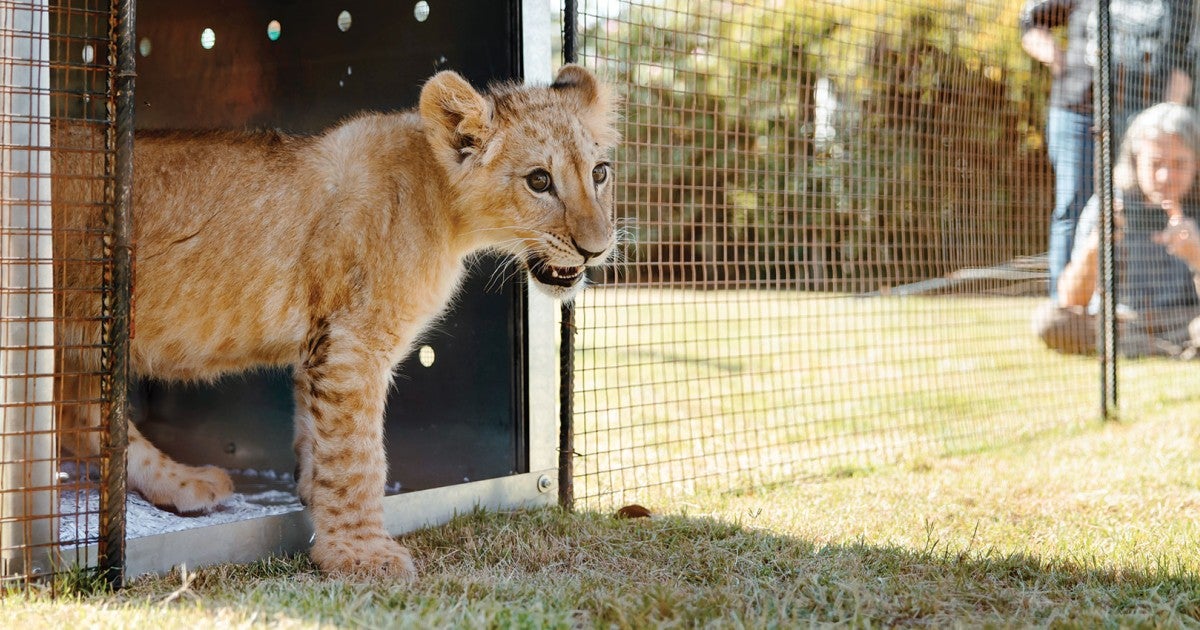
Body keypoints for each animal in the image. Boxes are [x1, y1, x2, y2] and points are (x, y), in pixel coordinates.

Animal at [52, 64, 619, 579]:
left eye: (600, 173)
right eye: (539, 181)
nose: (597, 249)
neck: (443, 203)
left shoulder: (323, 337)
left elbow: (317, 430)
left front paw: (312, 495)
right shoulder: (355, 342)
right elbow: (358, 456)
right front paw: (362, 554)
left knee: (83, 420)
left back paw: (182, 483)